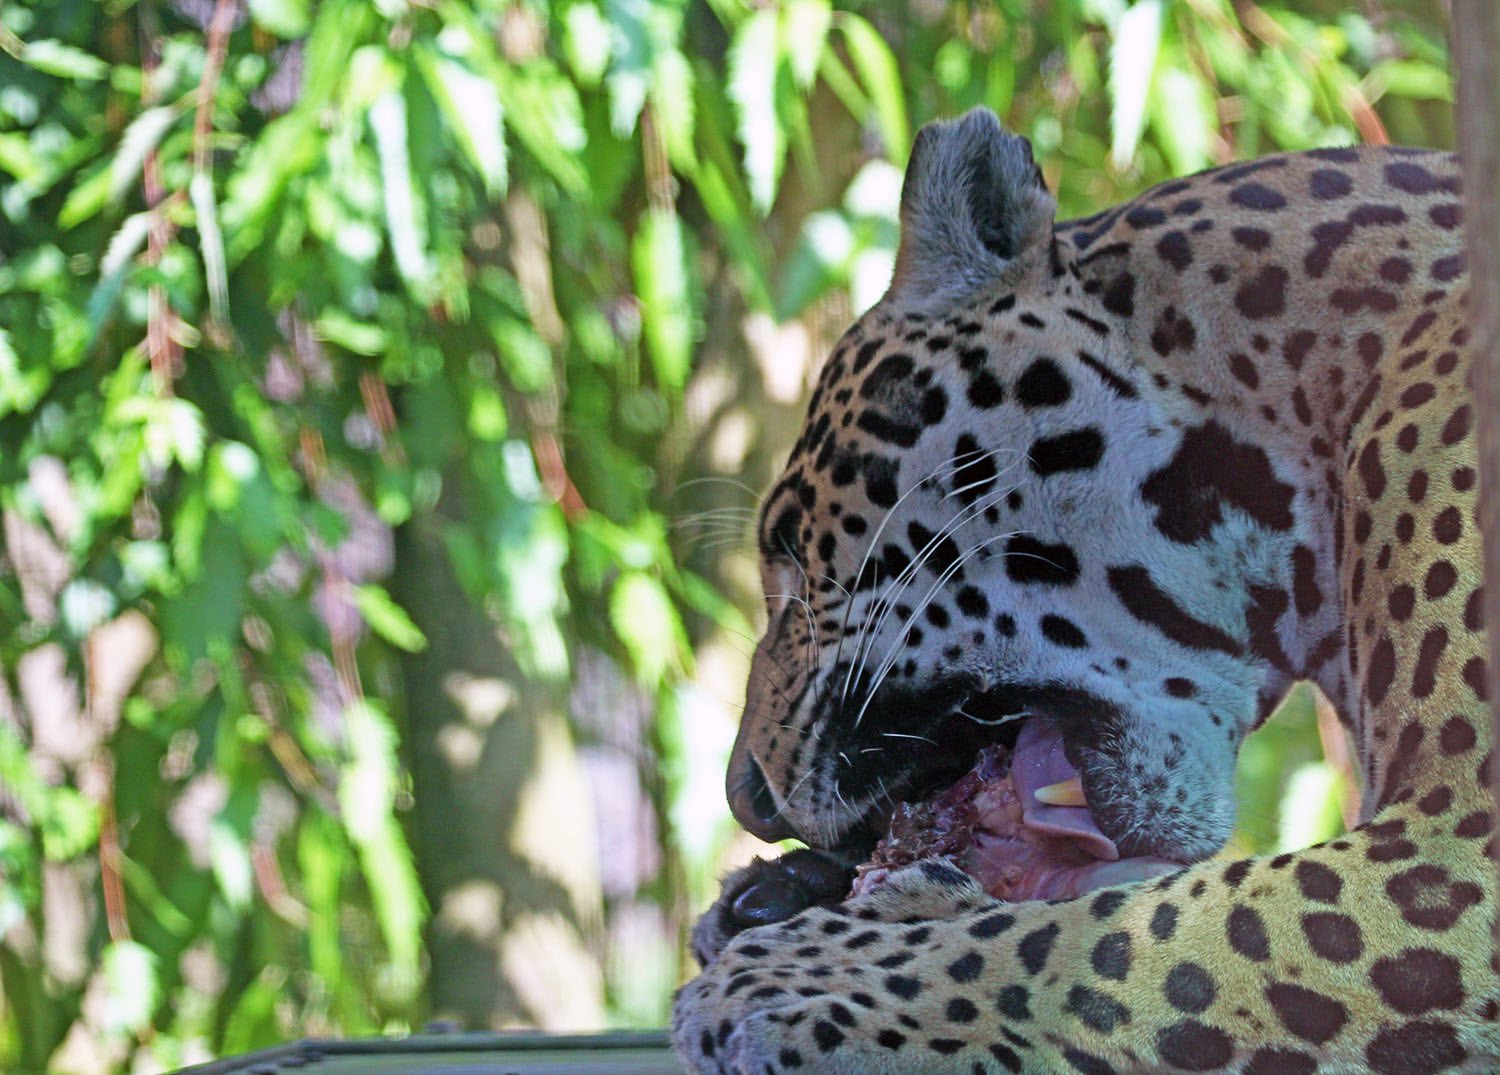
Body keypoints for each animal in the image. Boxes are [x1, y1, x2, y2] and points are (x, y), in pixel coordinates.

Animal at [672, 108, 1498, 1074]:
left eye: (789, 548)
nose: (748, 801)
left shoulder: (1462, 837)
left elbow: (1144, 938)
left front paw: (806, 977)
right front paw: (779, 896)